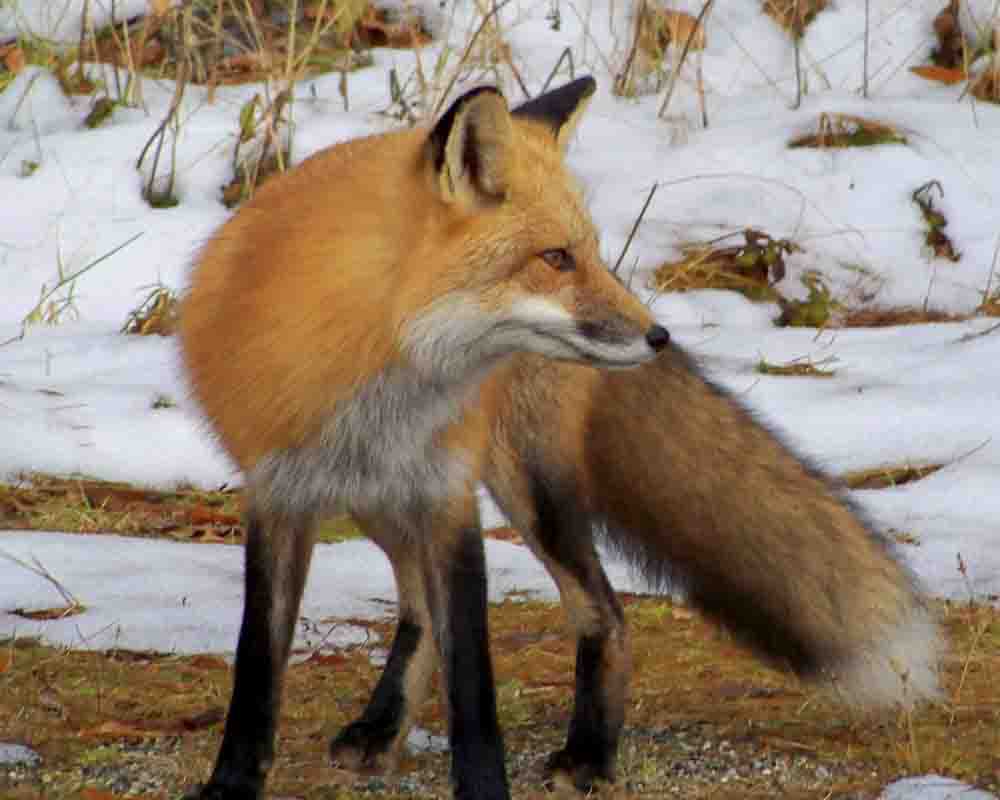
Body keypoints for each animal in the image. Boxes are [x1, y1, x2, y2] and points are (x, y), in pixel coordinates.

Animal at [180, 76, 940, 800]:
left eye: (594, 256)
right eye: (555, 257)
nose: (659, 336)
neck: (371, 355)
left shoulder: (449, 495)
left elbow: (473, 679)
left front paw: (484, 788)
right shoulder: (280, 491)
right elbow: (258, 660)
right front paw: (233, 784)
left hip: (525, 485)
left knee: (605, 613)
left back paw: (590, 757)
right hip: (379, 498)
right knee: (419, 605)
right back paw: (383, 729)